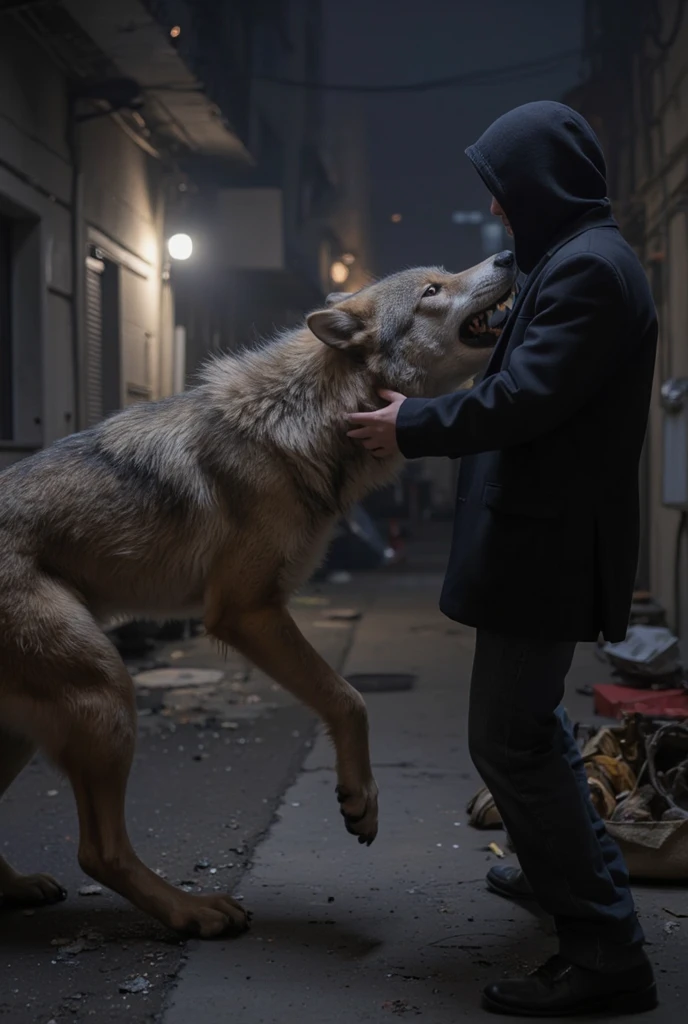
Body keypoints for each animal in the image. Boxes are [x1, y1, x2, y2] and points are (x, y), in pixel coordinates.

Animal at [0, 251, 516, 936]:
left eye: (444, 273)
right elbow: (349, 698)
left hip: (34, 726)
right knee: (99, 852)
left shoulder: (261, 611)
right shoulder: (247, 611)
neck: (309, 413)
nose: (508, 255)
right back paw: (192, 911)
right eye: (433, 289)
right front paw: (361, 799)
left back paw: (20, 886)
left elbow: (347, 698)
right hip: (104, 691)